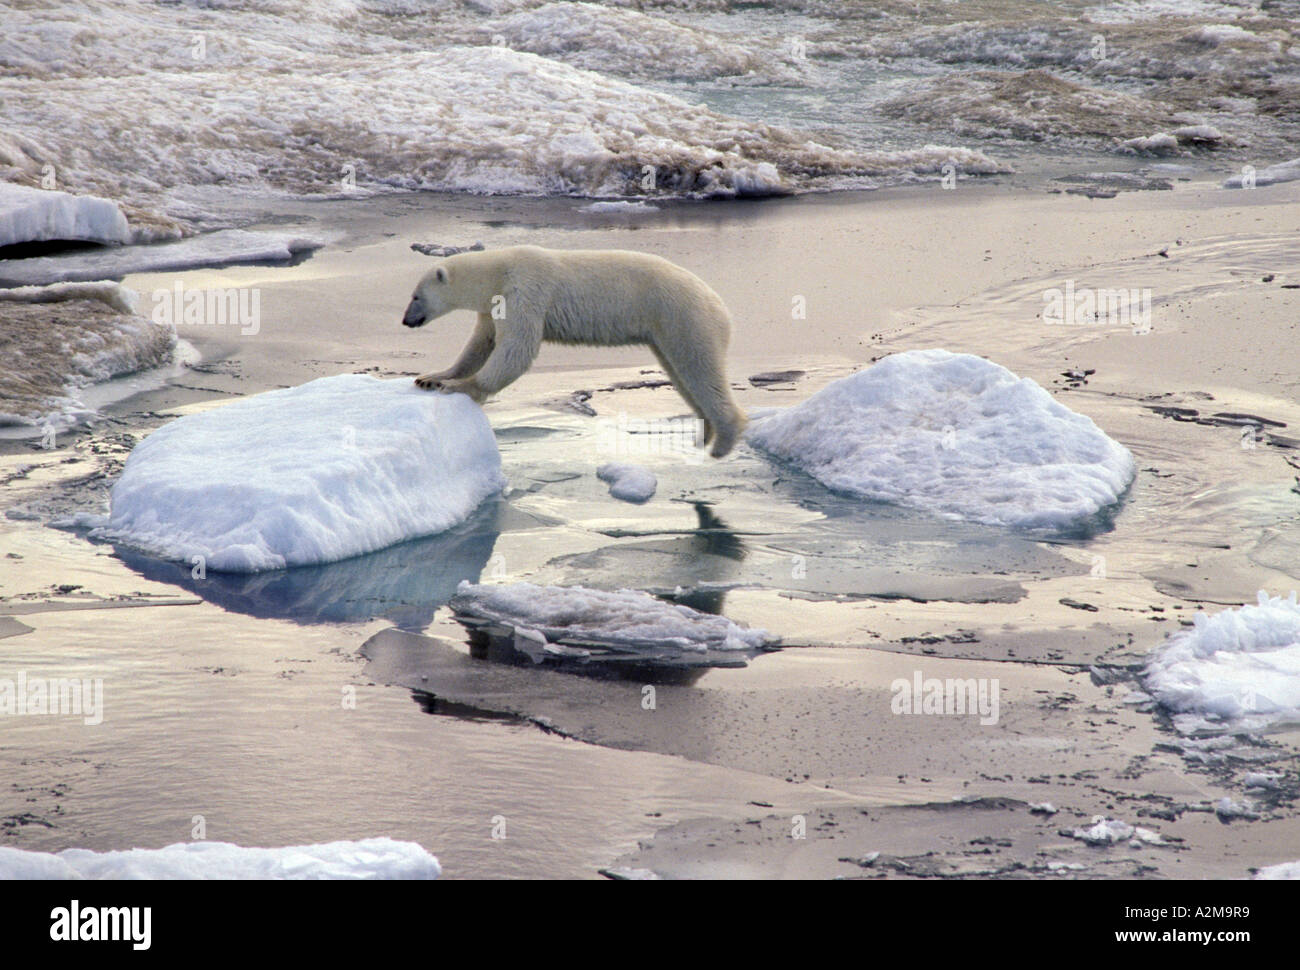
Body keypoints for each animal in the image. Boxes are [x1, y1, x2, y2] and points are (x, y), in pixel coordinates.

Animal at [401, 244, 748, 458]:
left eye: (416, 296)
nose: (406, 320)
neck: (499, 271)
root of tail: (721, 306)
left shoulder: (526, 290)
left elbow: (517, 347)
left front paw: (460, 386)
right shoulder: (493, 307)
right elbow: (480, 345)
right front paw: (432, 377)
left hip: (682, 318)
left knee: (700, 370)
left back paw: (723, 440)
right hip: (667, 332)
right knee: (685, 377)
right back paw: (704, 434)